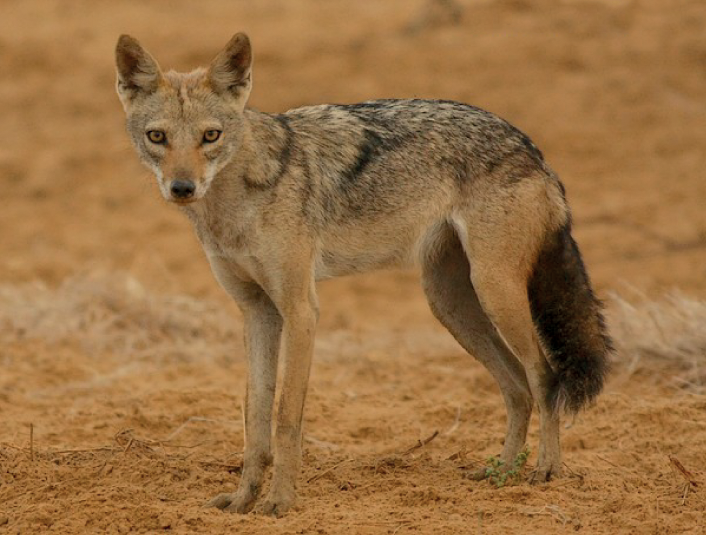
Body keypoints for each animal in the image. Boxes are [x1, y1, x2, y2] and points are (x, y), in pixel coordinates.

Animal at [115, 32, 611, 516]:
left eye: (210, 136)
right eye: (158, 137)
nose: (182, 188)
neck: (238, 201)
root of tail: (531, 147)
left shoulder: (301, 310)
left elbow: (286, 418)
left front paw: (279, 502)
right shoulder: (257, 312)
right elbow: (254, 419)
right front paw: (242, 500)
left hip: (494, 291)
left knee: (544, 376)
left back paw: (545, 471)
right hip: (450, 305)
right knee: (516, 386)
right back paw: (502, 473)